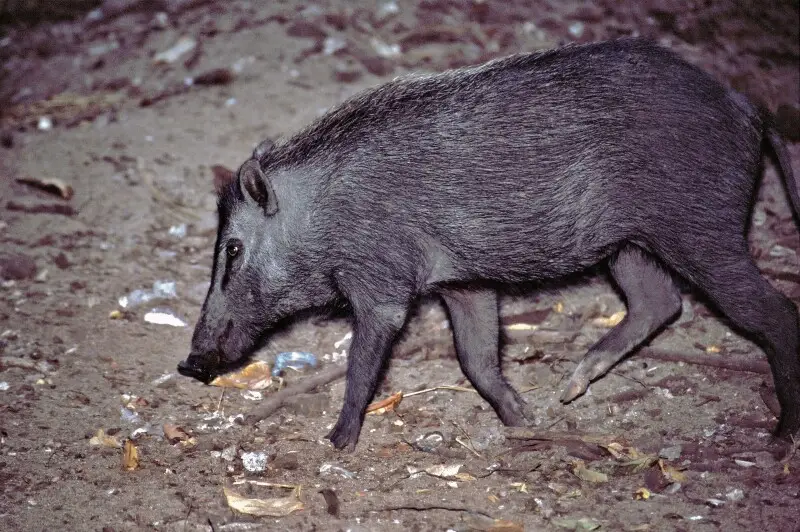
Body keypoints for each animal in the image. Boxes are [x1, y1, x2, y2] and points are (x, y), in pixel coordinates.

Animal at [178, 38, 800, 451]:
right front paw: (524, 421)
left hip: (701, 230)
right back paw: (570, 389)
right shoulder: (464, 282)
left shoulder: (382, 284)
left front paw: (336, 443)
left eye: (231, 250)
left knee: (775, 313)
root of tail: (748, 107)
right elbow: (475, 358)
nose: (190, 362)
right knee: (659, 302)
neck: (321, 215)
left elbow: (364, 363)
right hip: (629, 245)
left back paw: (778, 441)